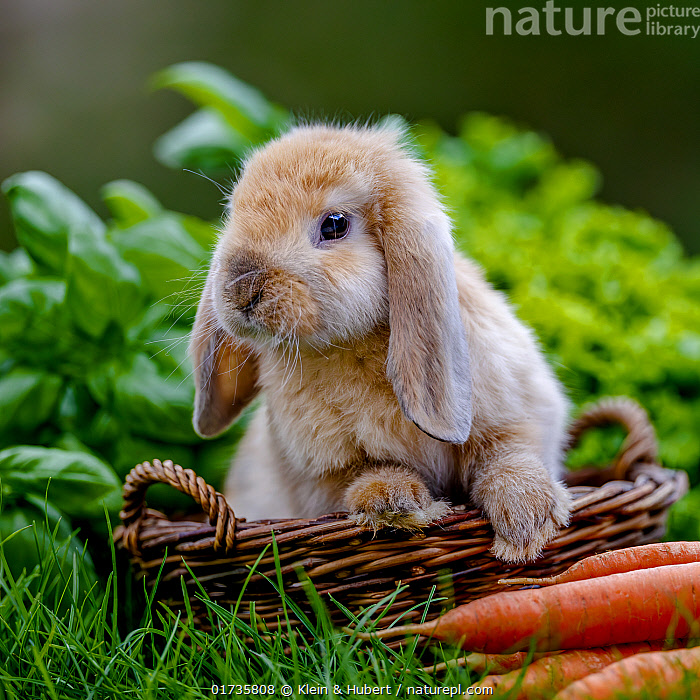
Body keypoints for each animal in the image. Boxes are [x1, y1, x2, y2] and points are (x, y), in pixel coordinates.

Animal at [190, 122, 571, 563]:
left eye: (334, 224)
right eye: (233, 212)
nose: (241, 288)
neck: (351, 344)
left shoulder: (521, 416)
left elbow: (510, 455)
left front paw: (526, 524)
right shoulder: (320, 473)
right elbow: (361, 476)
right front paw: (396, 503)